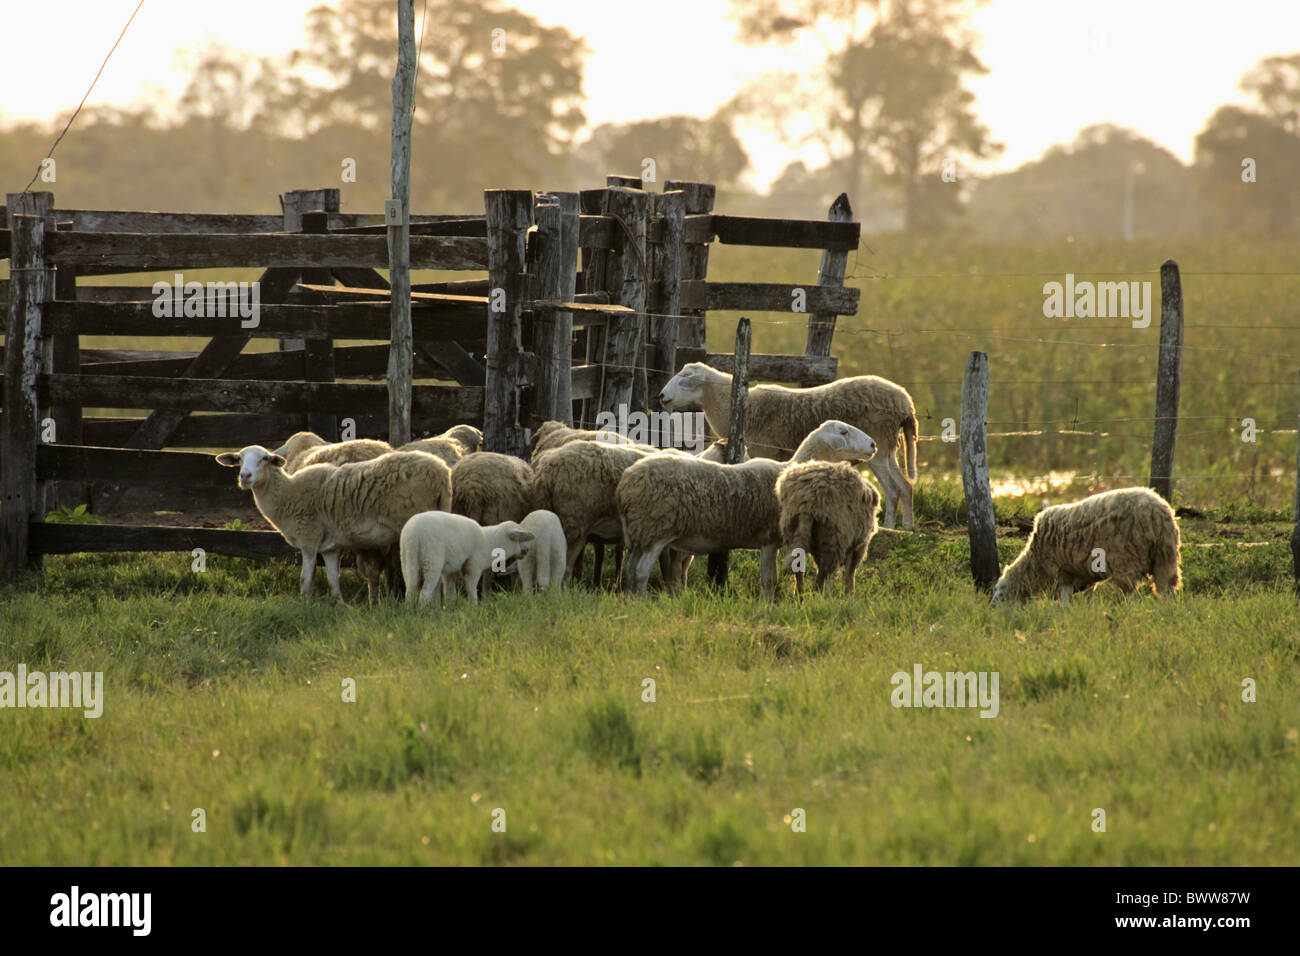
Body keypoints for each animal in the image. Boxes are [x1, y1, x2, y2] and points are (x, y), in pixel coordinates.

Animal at [215, 446, 451, 603]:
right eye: (238, 458)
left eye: (264, 458)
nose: (245, 476)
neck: (288, 494)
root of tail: (442, 473)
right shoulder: (329, 548)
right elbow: (332, 580)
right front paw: (341, 605)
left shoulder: (309, 539)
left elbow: (305, 579)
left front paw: (303, 604)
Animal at [399, 511, 534, 605]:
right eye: (522, 538)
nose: (527, 550)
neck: (488, 542)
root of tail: (413, 534)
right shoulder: (473, 566)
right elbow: (471, 589)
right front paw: (474, 607)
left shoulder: (450, 570)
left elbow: (449, 593)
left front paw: (447, 609)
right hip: (431, 559)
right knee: (425, 592)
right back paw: (423, 612)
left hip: (407, 559)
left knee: (411, 588)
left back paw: (410, 610)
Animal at [658, 362, 918, 530]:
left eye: (685, 377)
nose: (661, 396)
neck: (736, 404)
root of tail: (906, 402)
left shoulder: (763, 449)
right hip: (889, 448)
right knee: (905, 487)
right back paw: (908, 527)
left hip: (879, 445)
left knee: (892, 490)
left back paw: (890, 528)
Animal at [776, 461, 880, 595]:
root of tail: (807, 501)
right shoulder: (860, 545)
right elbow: (850, 572)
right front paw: (849, 595)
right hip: (834, 536)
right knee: (824, 571)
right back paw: (816, 594)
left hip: (793, 528)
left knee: (800, 566)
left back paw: (800, 595)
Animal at [989, 487, 1181, 605]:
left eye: (999, 596)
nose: (991, 611)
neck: (1034, 563)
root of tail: (1157, 512)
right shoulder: (1085, 574)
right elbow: (1088, 595)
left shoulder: (1063, 573)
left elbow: (1065, 600)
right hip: (1166, 557)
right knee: (1168, 589)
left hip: (1126, 561)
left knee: (1133, 596)